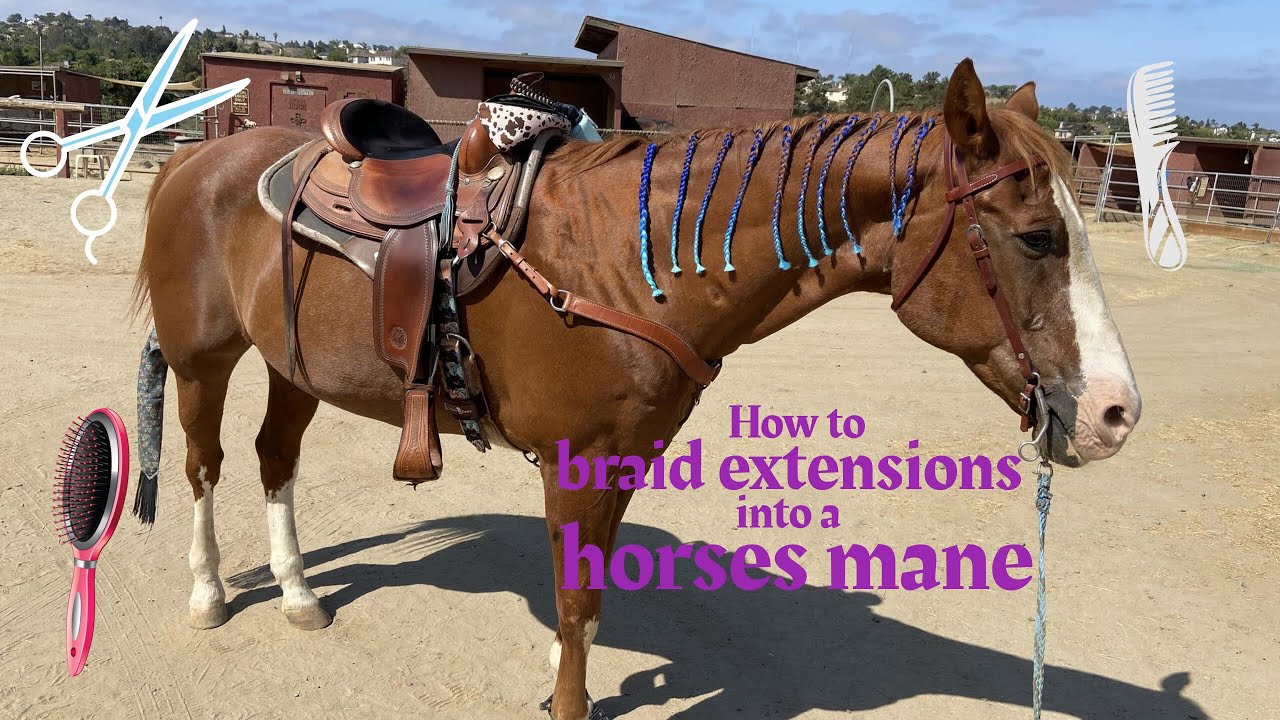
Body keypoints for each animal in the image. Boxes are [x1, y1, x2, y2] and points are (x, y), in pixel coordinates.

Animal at [131, 60, 1141, 720]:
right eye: (1037, 236)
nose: (1115, 413)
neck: (629, 263)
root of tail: (191, 160)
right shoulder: (576, 464)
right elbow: (578, 603)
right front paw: (568, 699)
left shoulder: (619, 464)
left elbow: (588, 599)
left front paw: (560, 677)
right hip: (204, 359)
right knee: (203, 464)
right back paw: (210, 592)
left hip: (292, 362)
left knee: (274, 461)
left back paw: (300, 594)